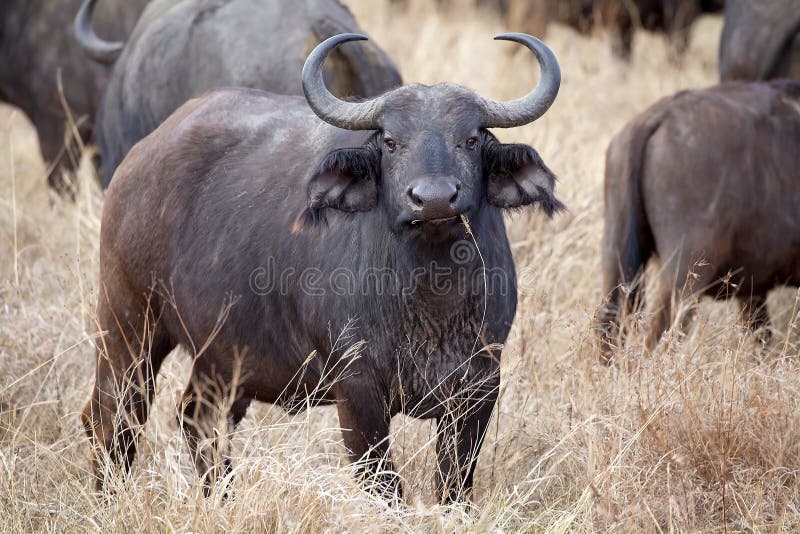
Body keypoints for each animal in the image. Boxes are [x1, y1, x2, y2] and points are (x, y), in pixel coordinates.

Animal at [81, 33, 563, 502]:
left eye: (470, 139)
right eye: (391, 141)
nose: (434, 198)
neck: (432, 298)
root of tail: (138, 159)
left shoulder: (480, 388)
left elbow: (454, 483)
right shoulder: (357, 392)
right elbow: (385, 487)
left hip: (219, 357)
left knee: (197, 418)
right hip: (128, 324)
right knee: (112, 416)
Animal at [597, 81, 800, 362]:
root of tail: (659, 115)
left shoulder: (752, 290)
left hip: (618, 262)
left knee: (609, 327)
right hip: (685, 278)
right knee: (658, 339)